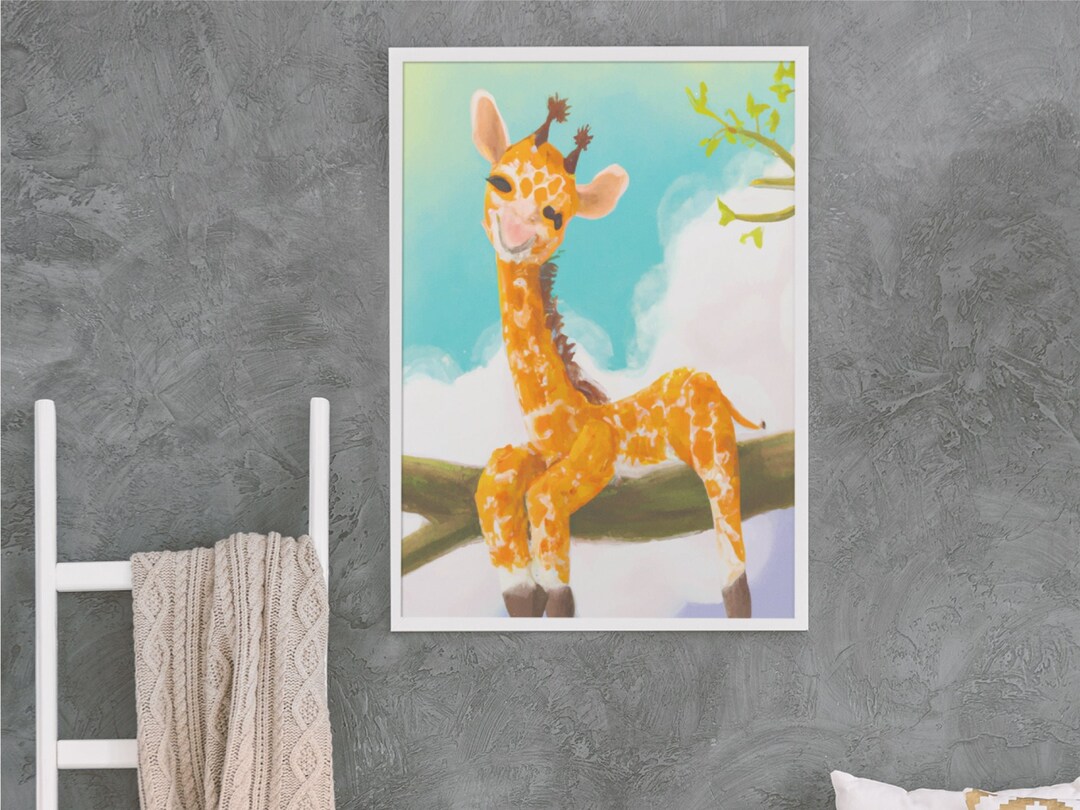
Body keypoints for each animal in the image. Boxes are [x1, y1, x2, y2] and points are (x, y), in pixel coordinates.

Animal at [471, 90, 765, 619]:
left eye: (556, 215)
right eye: (499, 181)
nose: (517, 234)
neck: (560, 419)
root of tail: (712, 385)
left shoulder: (597, 457)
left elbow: (552, 551)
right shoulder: (528, 458)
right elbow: (496, 498)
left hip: (711, 448)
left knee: (728, 529)